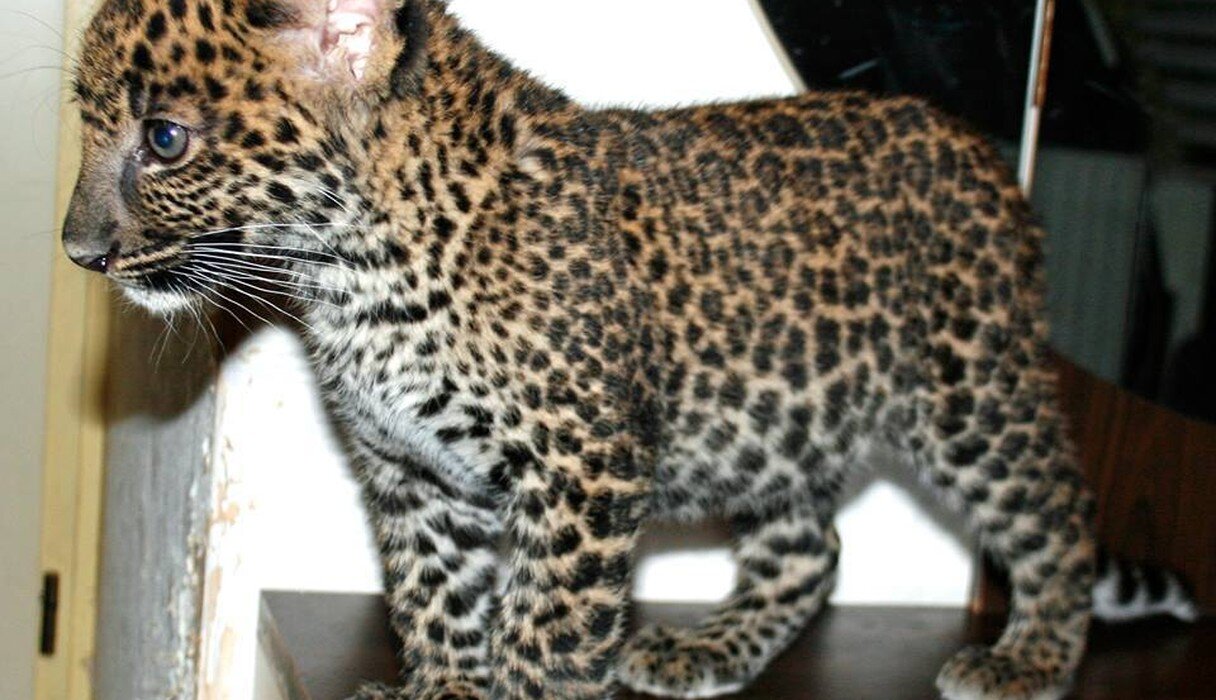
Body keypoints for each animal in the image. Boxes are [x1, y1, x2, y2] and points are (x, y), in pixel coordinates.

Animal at [61, 1, 1194, 698]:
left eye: (165, 140)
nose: (79, 251)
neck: (353, 270)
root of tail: (984, 157)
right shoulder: (411, 476)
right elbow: (431, 595)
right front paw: (444, 684)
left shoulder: (580, 464)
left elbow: (544, 625)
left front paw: (519, 687)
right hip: (779, 420)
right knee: (812, 550)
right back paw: (709, 647)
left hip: (968, 395)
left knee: (1055, 513)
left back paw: (1029, 656)